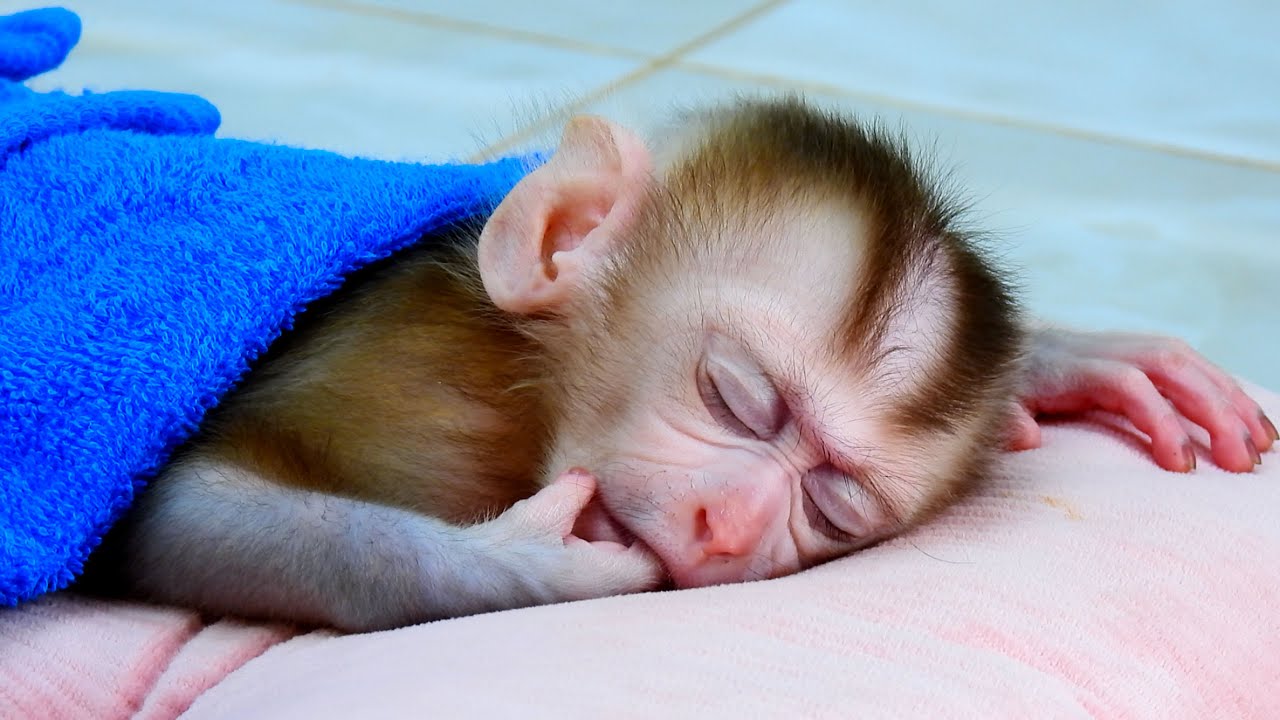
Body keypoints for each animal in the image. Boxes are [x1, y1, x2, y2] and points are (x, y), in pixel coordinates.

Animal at [80, 97, 1277, 632]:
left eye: (833, 508)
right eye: (734, 398)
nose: (728, 525)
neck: (525, 385)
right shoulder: (414, 380)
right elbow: (179, 510)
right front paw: (531, 563)